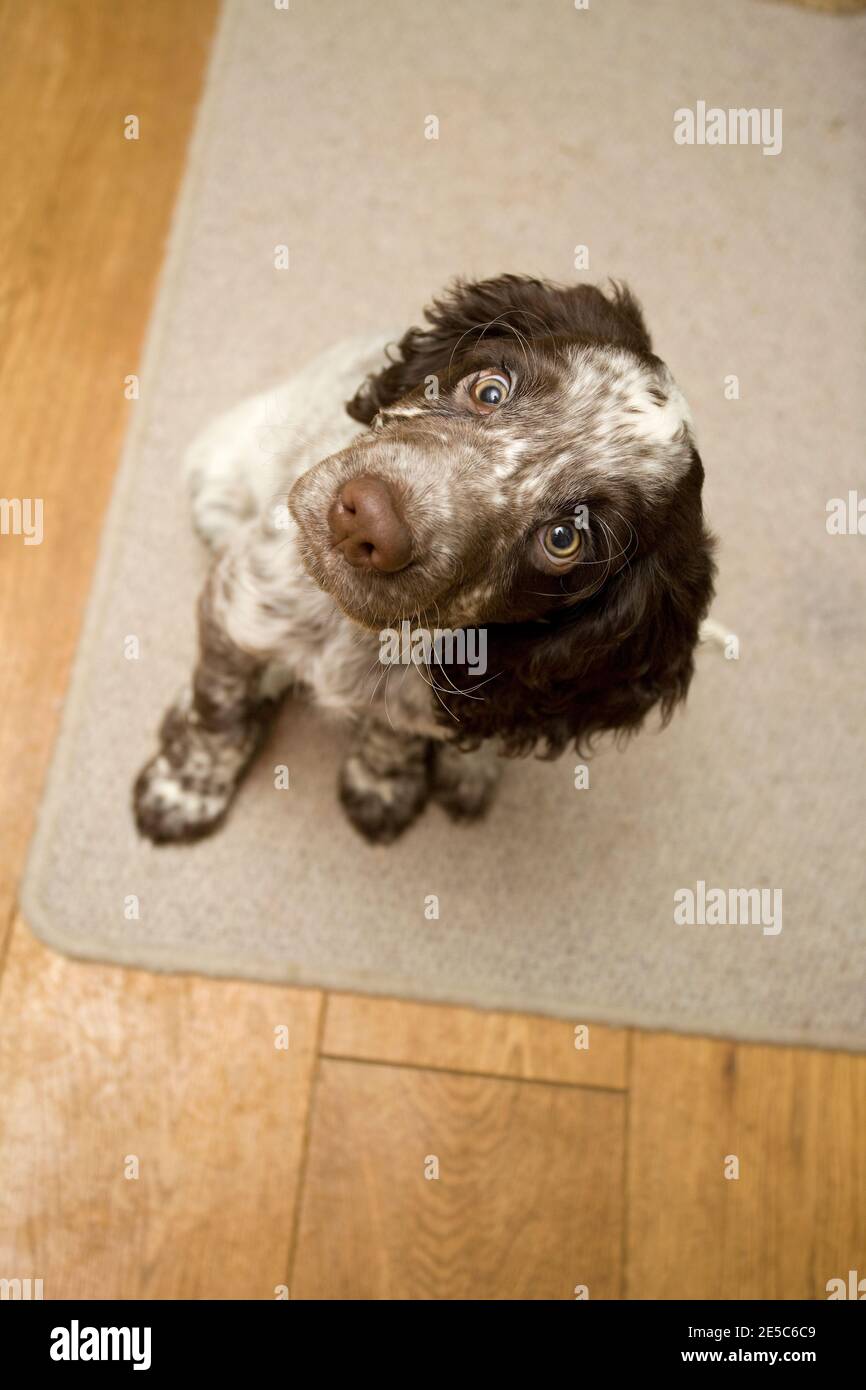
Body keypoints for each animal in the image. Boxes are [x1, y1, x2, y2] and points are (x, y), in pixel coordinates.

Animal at [134, 268, 717, 834]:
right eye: (490, 390)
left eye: (563, 540)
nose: (367, 519)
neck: (358, 634)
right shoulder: (238, 603)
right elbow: (219, 708)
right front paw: (185, 790)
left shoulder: (432, 702)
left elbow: (396, 731)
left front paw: (381, 782)